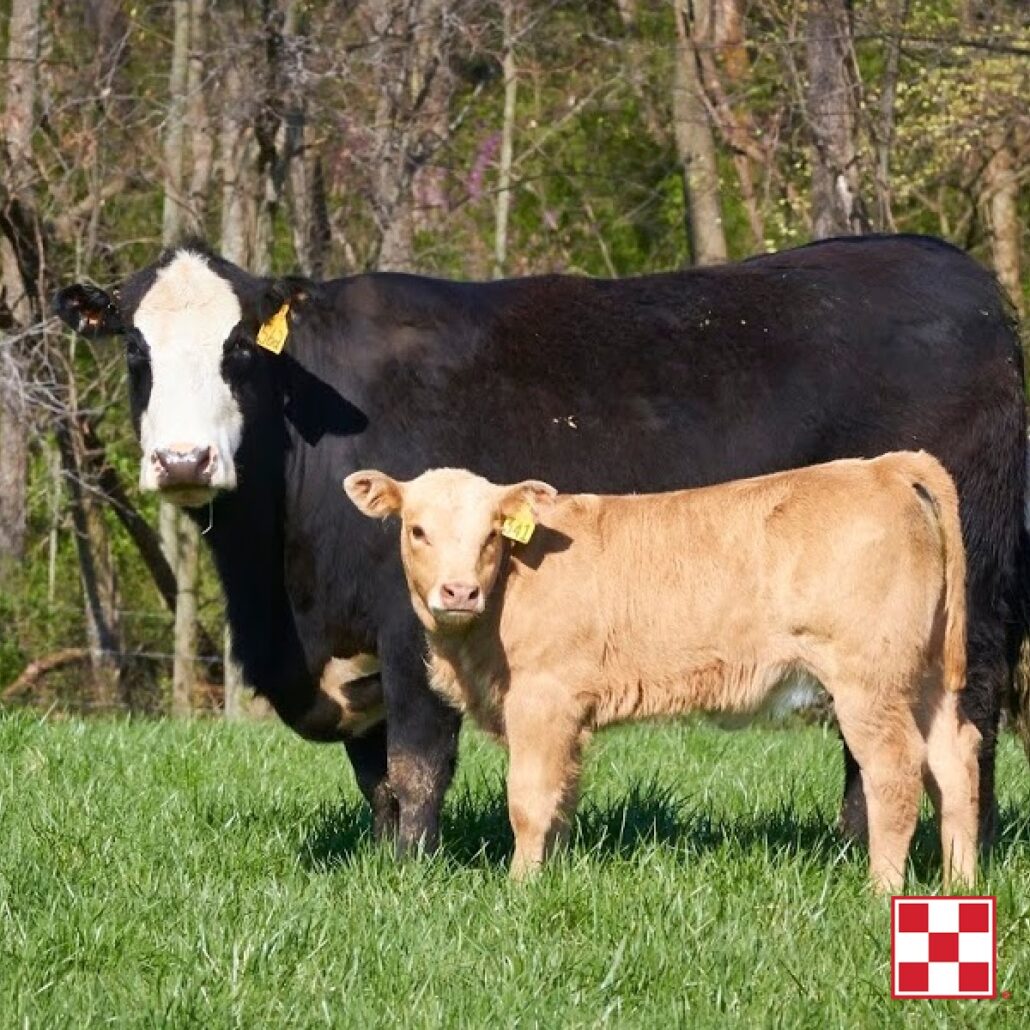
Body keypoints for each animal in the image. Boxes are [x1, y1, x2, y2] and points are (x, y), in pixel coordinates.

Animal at [343, 453, 978, 890]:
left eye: (492, 533)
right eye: (417, 530)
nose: (459, 591)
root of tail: (883, 466)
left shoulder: (543, 699)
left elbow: (528, 797)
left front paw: (520, 886)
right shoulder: (570, 714)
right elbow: (562, 796)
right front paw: (553, 874)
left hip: (868, 682)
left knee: (895, 771)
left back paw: (883, 890)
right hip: (924, 677)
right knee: (954, 763)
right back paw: (960, 883)